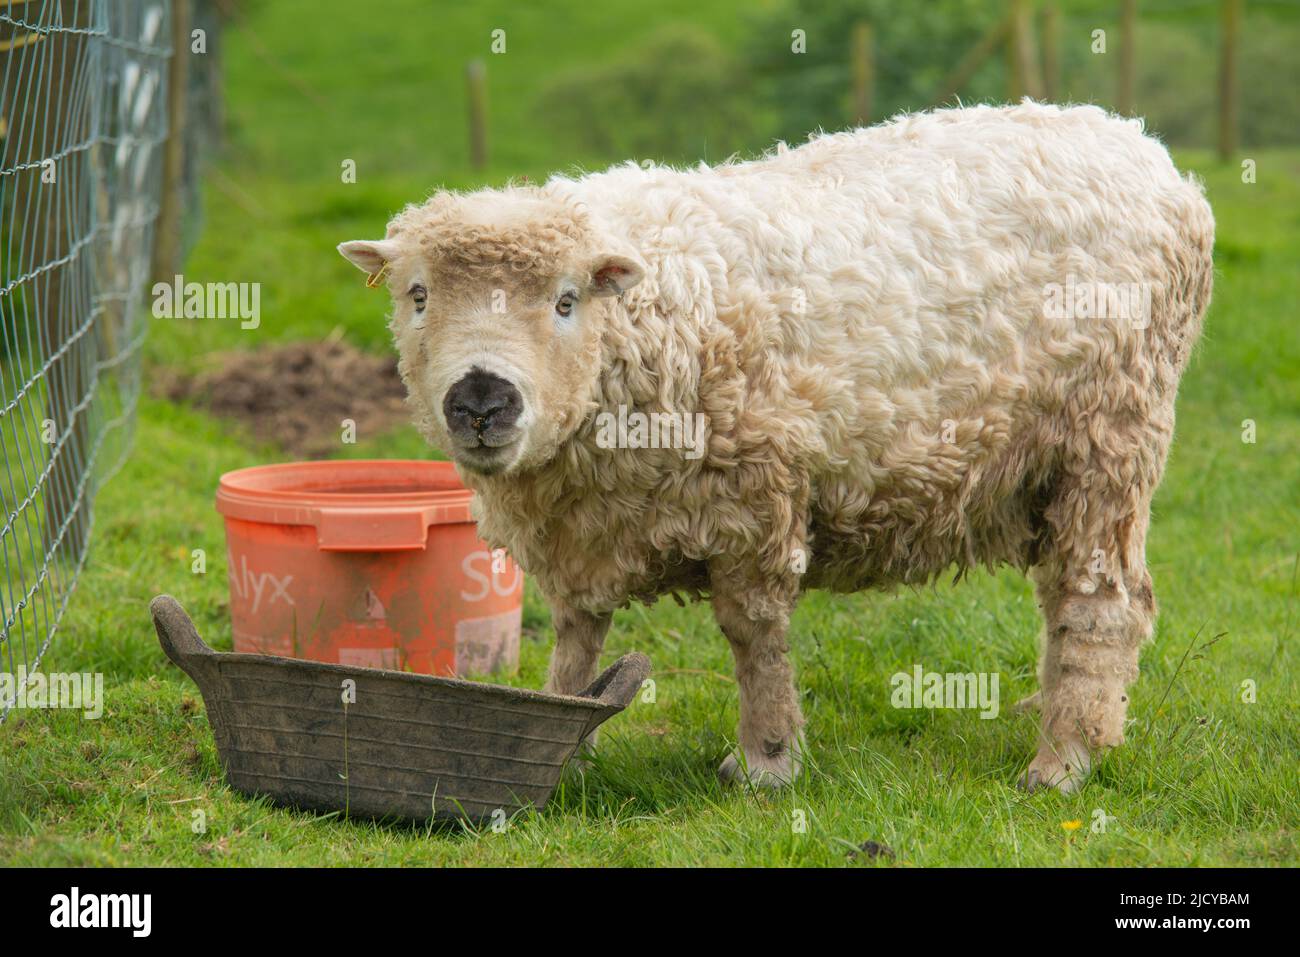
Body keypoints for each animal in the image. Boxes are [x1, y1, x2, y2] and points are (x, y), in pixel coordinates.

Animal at [339, 102, 1214, 793]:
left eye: (564, 300)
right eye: (418, 295)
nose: (482, 399)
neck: (640, 322)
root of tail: (1149, 154)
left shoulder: (752, 495)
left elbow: (753, 633)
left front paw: (766, 761)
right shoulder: (582, 523)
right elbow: (579, 632)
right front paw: (565, 742)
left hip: (1107, 436)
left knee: (1096, 603)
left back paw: (1063, 761)